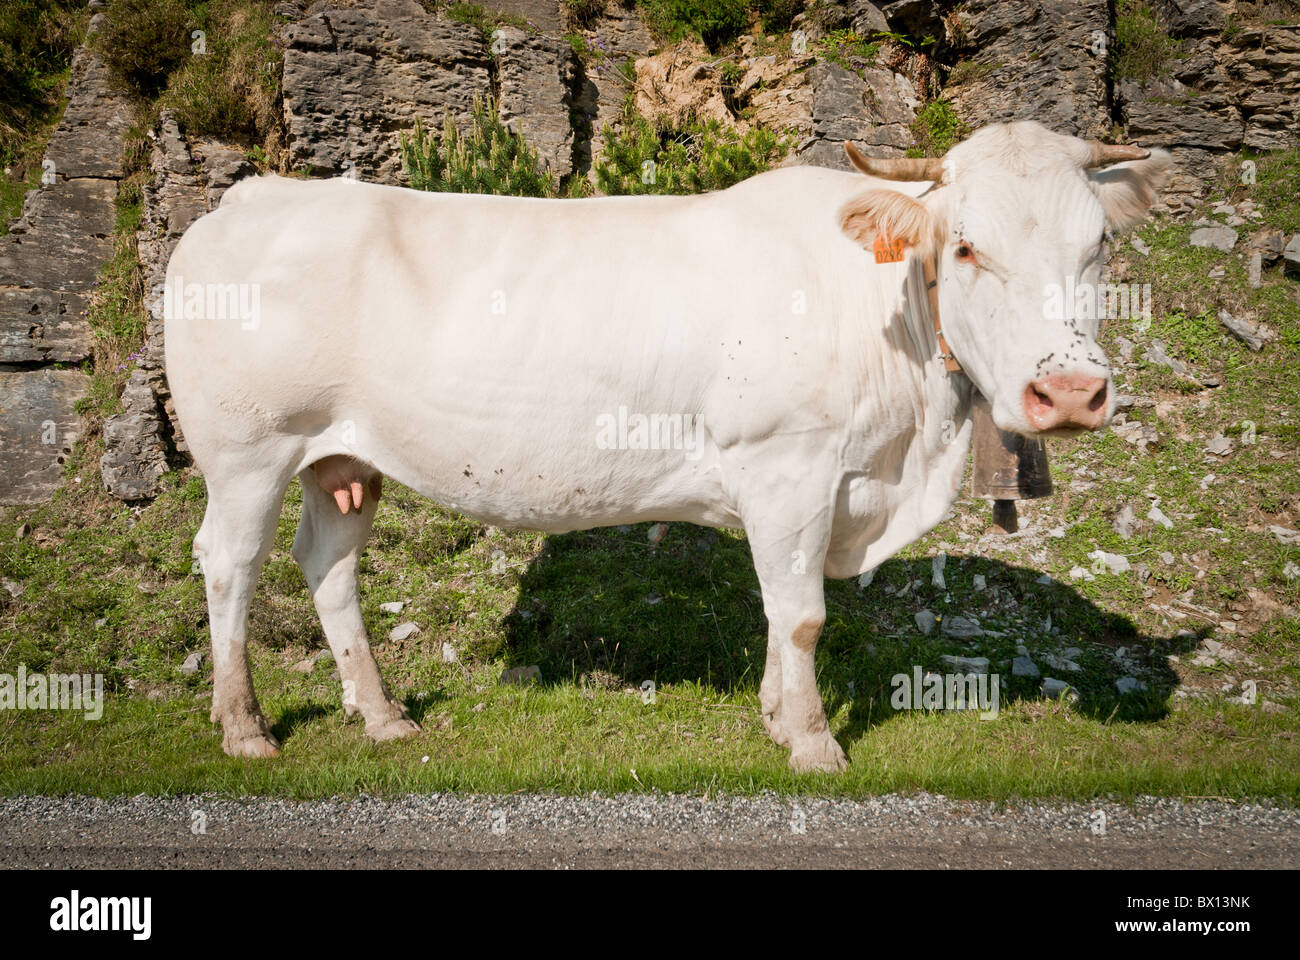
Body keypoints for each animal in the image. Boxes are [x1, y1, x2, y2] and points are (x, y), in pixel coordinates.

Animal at [165, 120, 1170, 771]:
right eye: (964, 247)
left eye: (1097, 246)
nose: (1070, 392)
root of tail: (251, 196)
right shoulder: (787, 464)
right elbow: (802, 614)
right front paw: (814, 742)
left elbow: (777, 607)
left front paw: (776, 716)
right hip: (249, 449)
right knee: (229, 563)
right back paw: (244, 725)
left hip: (342, 456)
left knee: (328, 563)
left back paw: (381, 717)